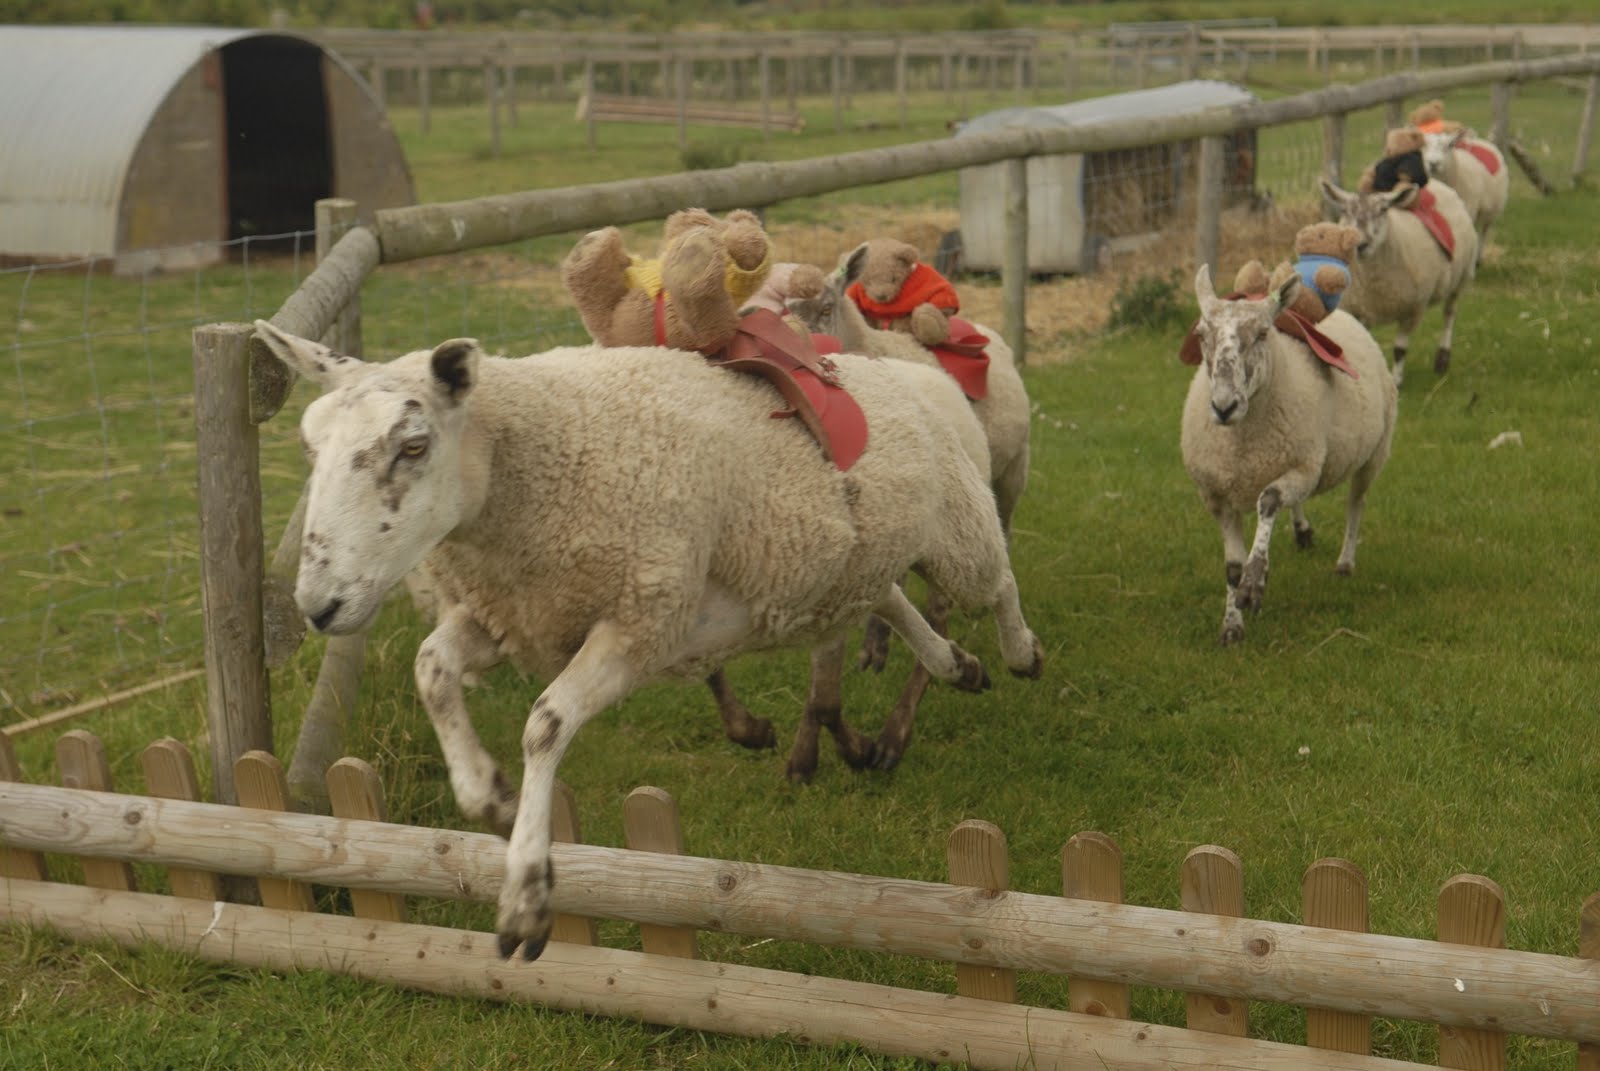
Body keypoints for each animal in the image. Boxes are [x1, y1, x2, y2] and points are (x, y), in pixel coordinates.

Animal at [251, 319, 1043, 962]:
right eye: (311, 444)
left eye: (413, 446)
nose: (318, 606)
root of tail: (905, 369)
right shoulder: (521, 615)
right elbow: (431, 667)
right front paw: (489, 795)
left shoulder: (641, 620)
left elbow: (545, 723)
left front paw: (527, 893)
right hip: (851, 560)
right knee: (894, 598)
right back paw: (956, 663)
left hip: (957, 523)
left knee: (998, 578)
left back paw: (1018, 653)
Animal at [1180, 266, 1398, 646]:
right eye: (1201, 334)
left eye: (1263, 333)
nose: (1224, 407)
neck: (1241, 443)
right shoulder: (1216, 495)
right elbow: (1232, 567)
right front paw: (1232, 627)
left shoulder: (1304, 470)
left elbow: (1268, 501)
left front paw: (1254, 583)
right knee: (1298, 505)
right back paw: (1302, 531)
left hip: (1373, 453)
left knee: (1355, 504)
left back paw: (1345, 563)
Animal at [1320, 177, 1478, 385]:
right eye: (1345, 211)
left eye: (1383, 210)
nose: (1360, 245)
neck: (1372, 283)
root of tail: (1436, 183)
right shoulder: (1356, 309)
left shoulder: (1413, 309)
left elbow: (1399, 350)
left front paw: (1396, 380)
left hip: (1461, 277)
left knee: (1449, 315)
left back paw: (1442, 359)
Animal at [1420, 130, 1509, 260]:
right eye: (1423, 145)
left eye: (1449, 145)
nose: (1433, 164)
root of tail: (1477, 140)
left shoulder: (1469, 208)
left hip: (1492, 210)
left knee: (1483, 231)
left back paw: (1478, 258)